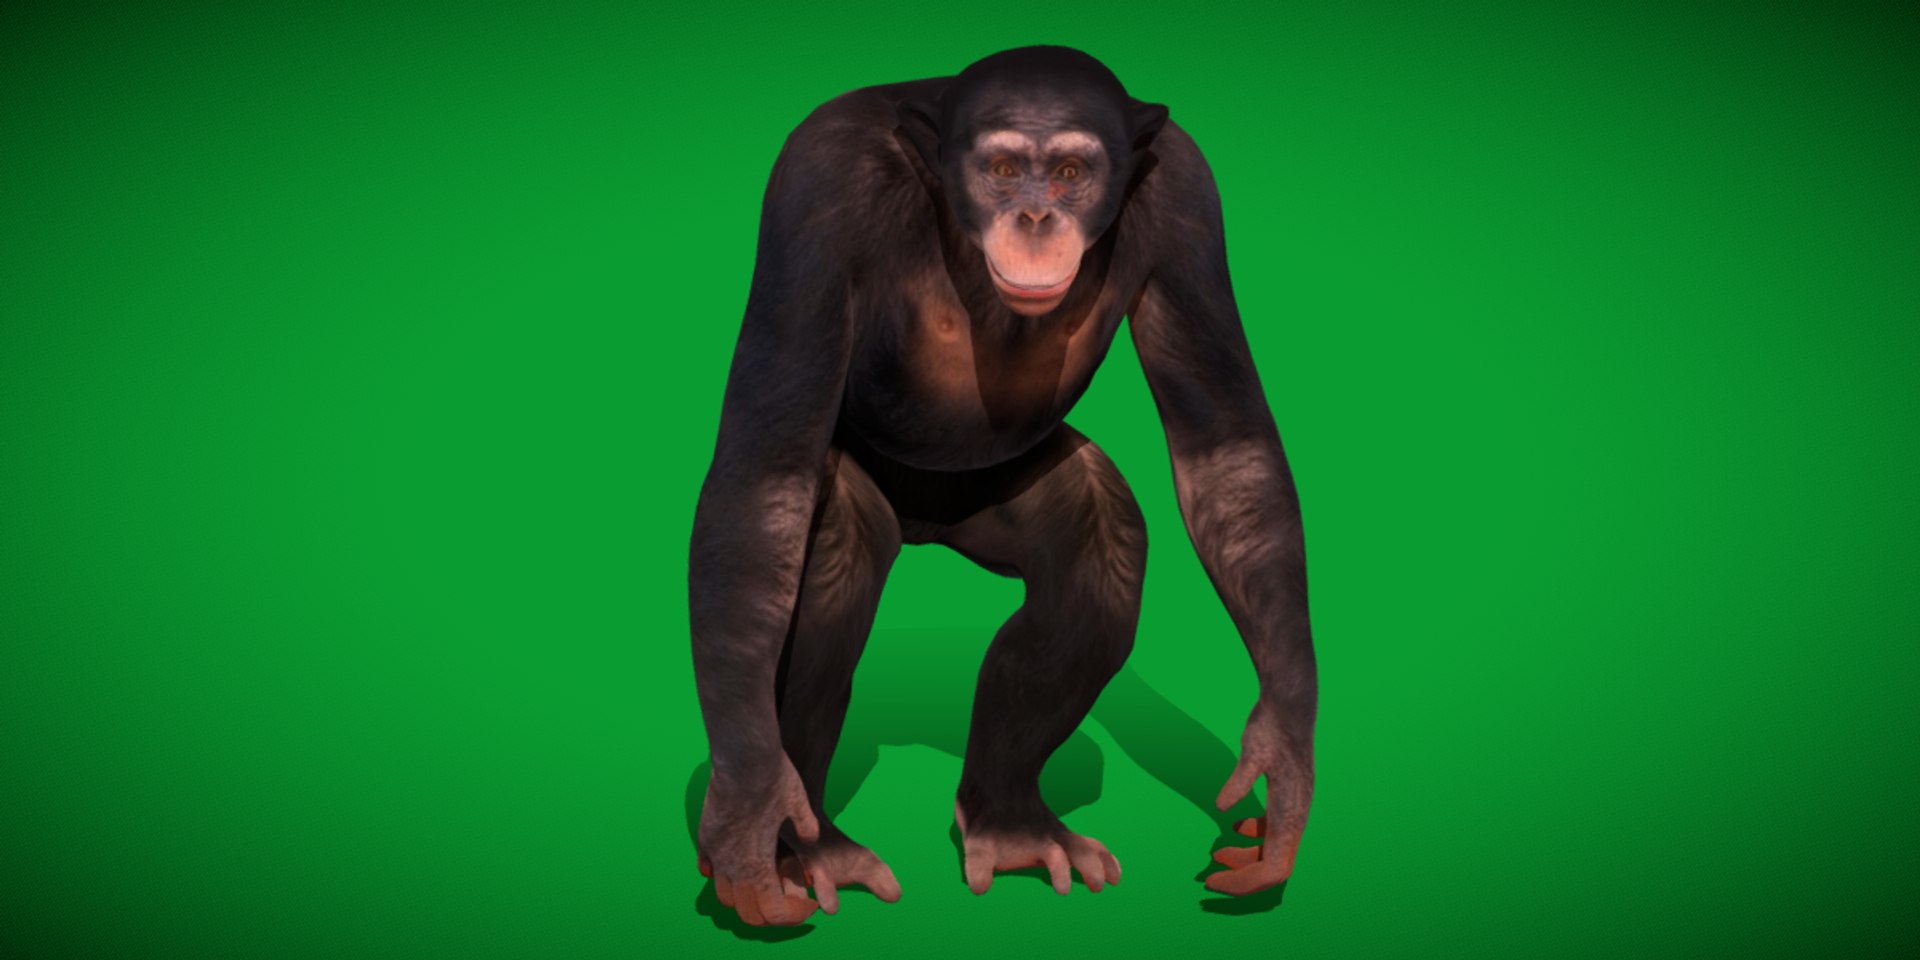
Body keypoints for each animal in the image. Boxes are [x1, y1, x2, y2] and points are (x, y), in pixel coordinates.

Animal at [689, 46, 1316, 927]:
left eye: (1070, 171)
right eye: (1002, 169)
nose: (1035, 218)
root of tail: (926, 524)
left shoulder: (1189, 198)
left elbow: (1225, 448)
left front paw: (1284, 754)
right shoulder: (817, 188)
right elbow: (766, 475)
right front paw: (747, 816)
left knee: (1096, 546)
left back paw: (1010, 821)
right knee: (831, 548)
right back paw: (806, 848)